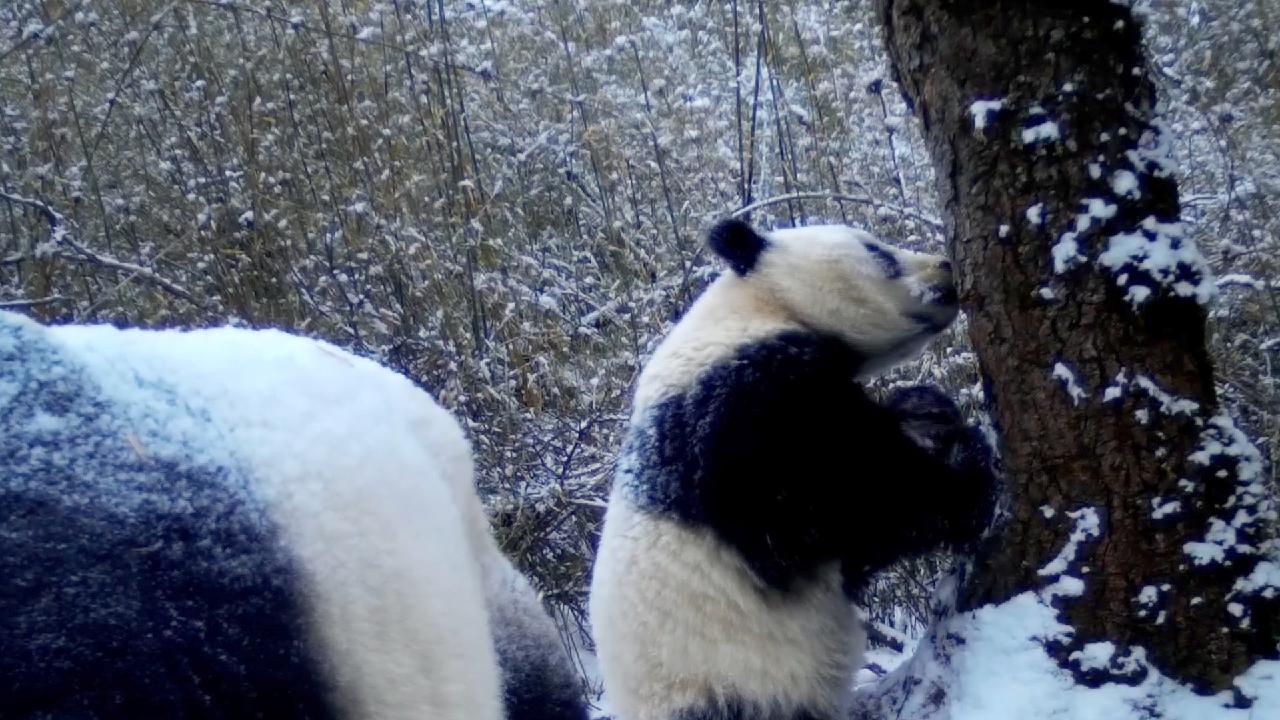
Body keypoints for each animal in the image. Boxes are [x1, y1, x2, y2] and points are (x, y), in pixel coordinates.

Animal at [588, 219, 995, 720]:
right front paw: (970, 473)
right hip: (726, 688)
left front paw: (928, 408)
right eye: (877, 252)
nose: (945, 267)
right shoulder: (743, 417)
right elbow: (854, 498)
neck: (760, 309)